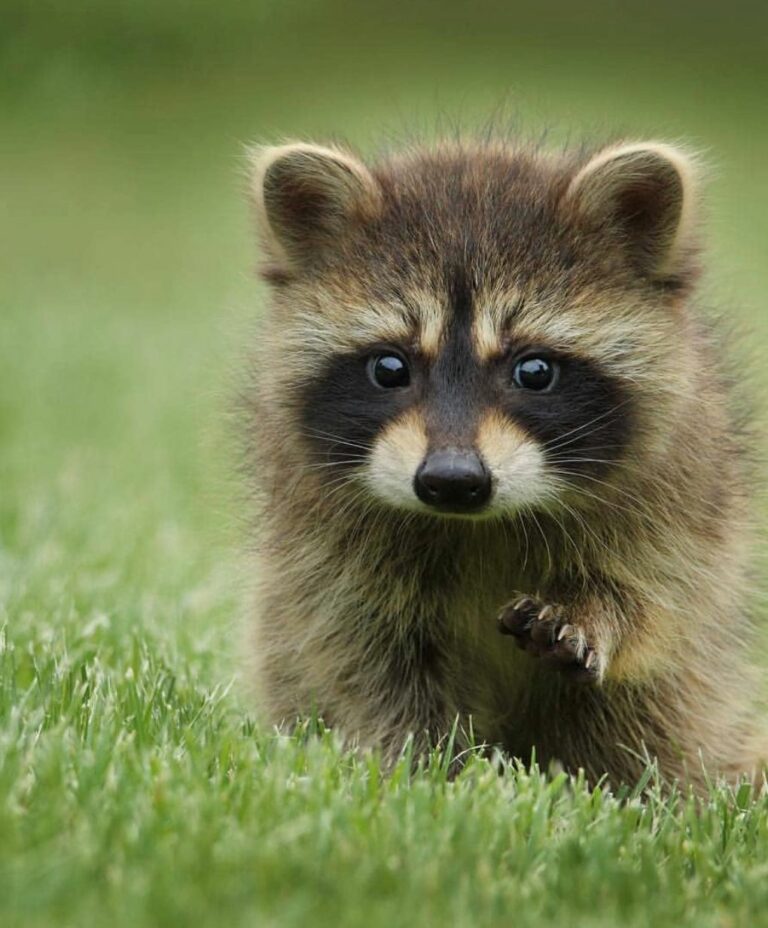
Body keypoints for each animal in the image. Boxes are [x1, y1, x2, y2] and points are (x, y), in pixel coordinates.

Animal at [242, 133, 768, 790]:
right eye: (390, 368)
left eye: (534, 371)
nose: (451, 481)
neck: (477, 525)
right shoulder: (326, 547)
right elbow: (365, 657)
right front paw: (423, 769)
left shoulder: (680, 492)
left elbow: (657, 599)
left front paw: (596, 610)